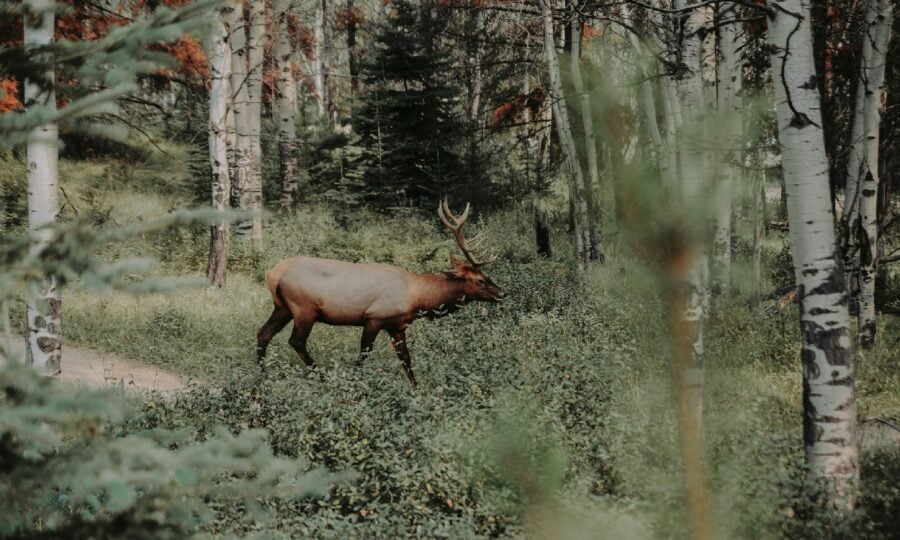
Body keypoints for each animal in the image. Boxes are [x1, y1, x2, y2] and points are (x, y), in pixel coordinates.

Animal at [256, 199, 504, 387]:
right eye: (480, 280)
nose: (502, 293)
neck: (417, 299)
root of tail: (272, 274)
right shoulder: (374, 317)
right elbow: (364, 354)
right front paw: (355, 383)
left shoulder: (397, 326)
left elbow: (406, 360)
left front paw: (417, 390)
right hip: (304, 309)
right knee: (296, 341)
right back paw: (322, 376)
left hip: (282, 307)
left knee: (263, 333)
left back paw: (261, 379)